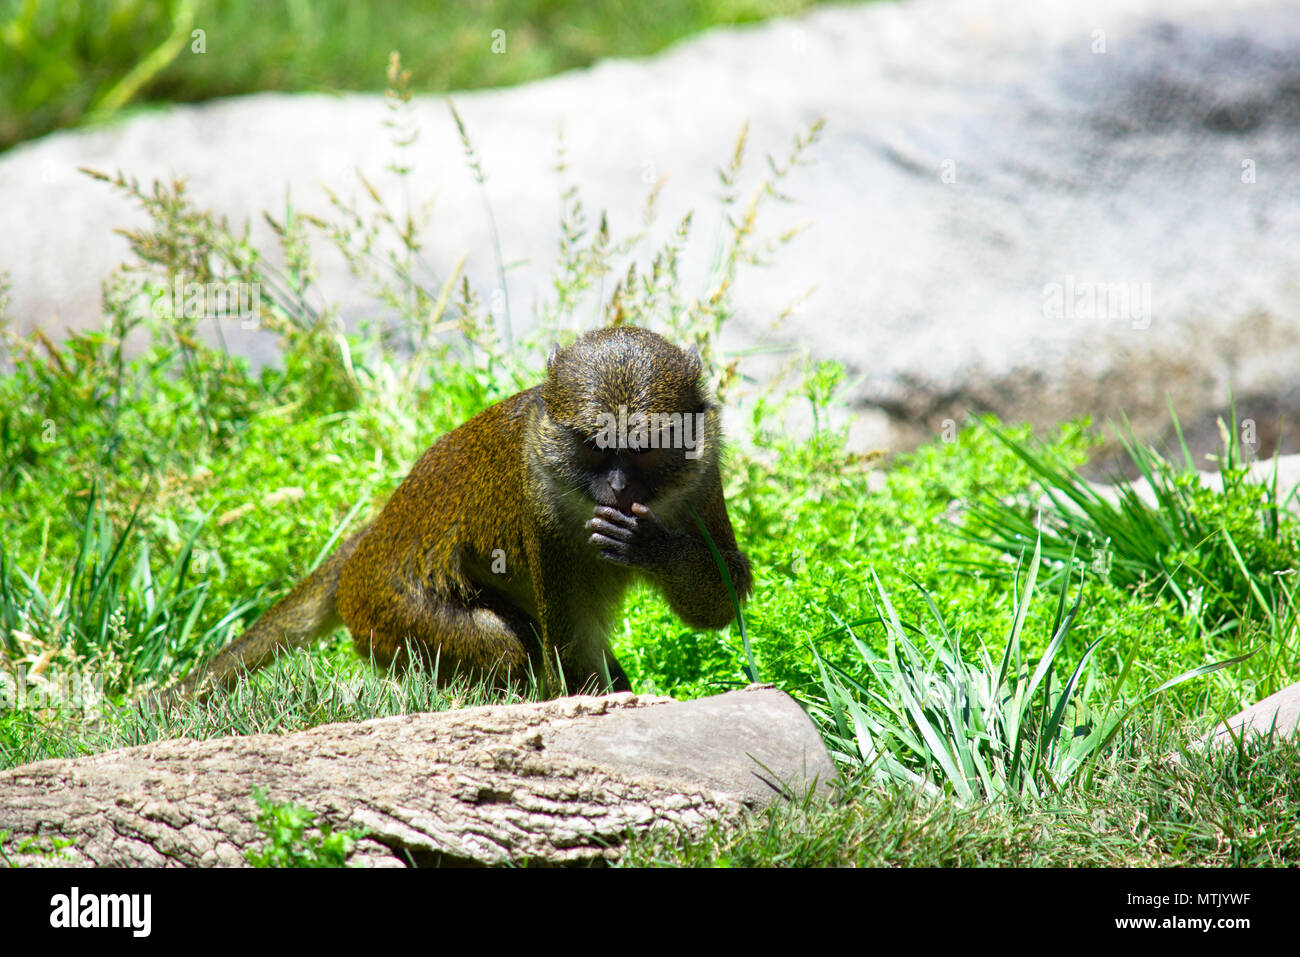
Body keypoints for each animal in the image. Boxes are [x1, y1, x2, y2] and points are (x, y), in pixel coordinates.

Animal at [181, 325, 751, 699]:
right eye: (594, 446)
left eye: (643, 450)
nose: (616, 487)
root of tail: (370, 543)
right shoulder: (540, 502)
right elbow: (569, 649)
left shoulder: (702, 474)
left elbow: (719, 605)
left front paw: (649, 546)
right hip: (386, 615)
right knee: (506, 644)